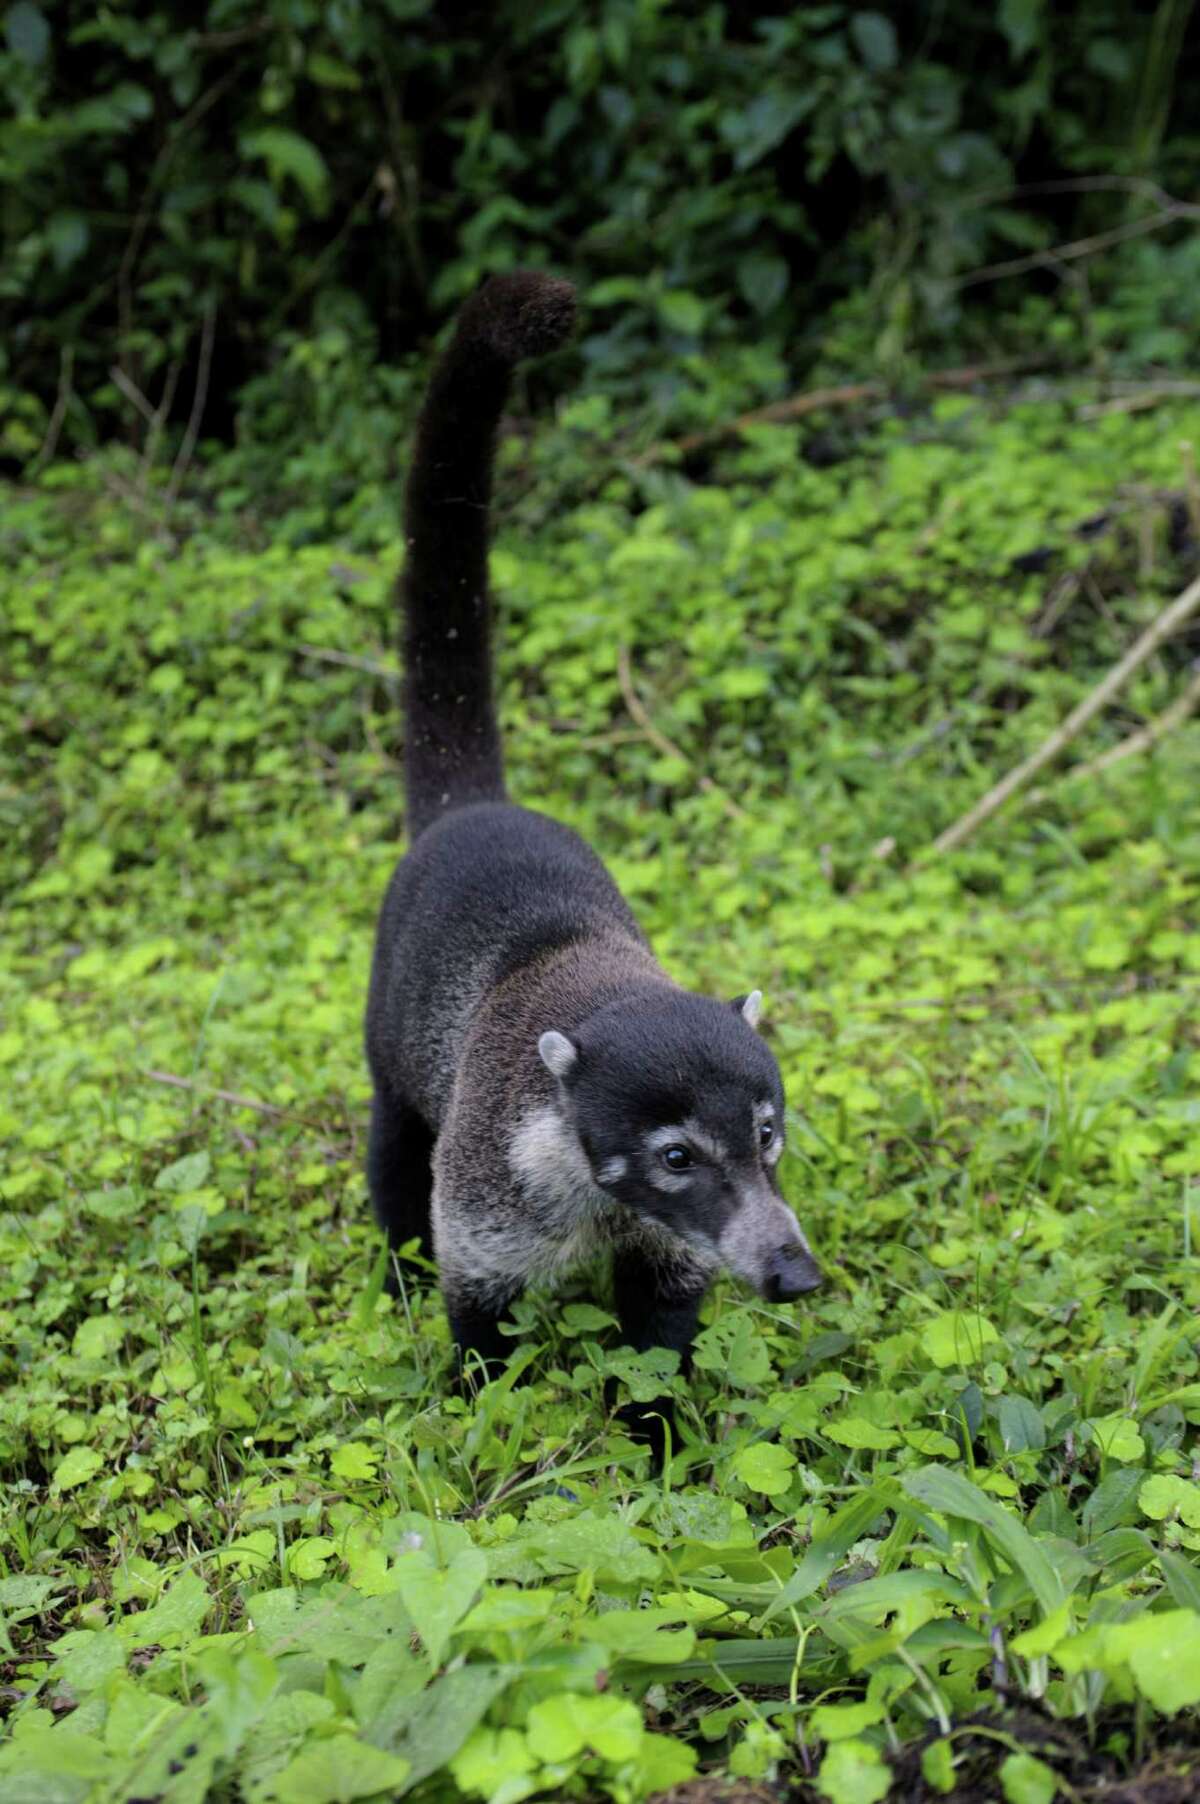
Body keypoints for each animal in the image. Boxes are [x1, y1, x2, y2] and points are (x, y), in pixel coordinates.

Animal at [364, 272, 822, 1440]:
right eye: (677, 1157)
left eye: (769, 1136)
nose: (796, 1275)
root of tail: (480, 807)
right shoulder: (485, 1198)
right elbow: (478, 1328)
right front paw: (485, 1419)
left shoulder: (670, 1250)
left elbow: (658, 1341)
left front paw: (660, 1441)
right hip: (390, 1045)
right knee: (392, 1145)